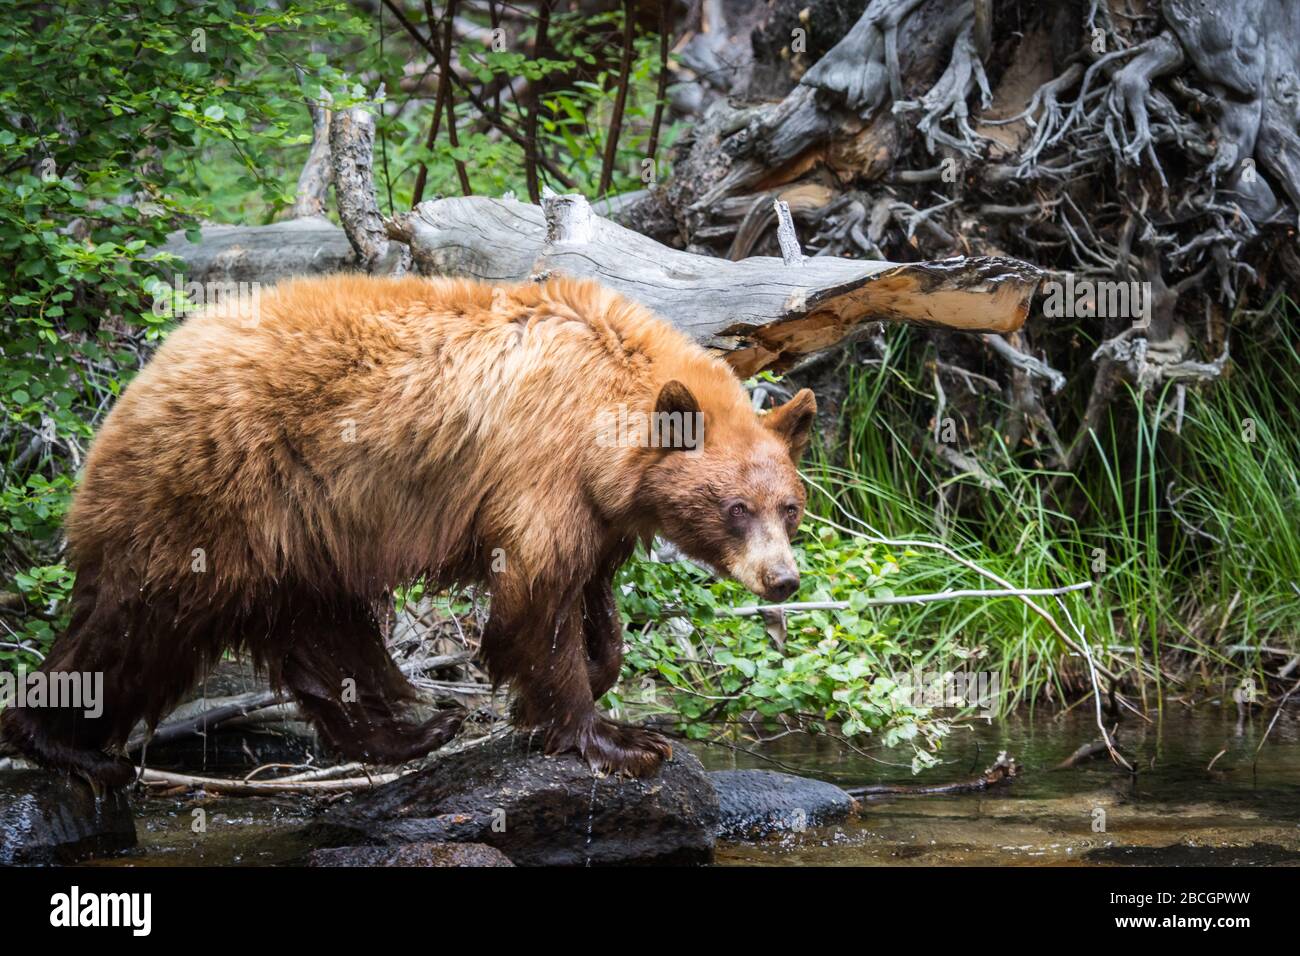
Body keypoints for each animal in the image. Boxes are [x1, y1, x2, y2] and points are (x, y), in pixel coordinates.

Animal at [1, 273, 816, 785]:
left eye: (789, 506)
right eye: (734, 508)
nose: (783, 579)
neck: (604, 411)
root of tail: (139, 383)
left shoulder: (600, 508)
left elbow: (592, 594)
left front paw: (600, 666)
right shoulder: (541, 470)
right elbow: (537, 597)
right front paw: (613, 738)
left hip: (294, 534)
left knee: (320, 633)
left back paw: (410, 731)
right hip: (209, 496)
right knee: (139, 622)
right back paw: (65, 743)